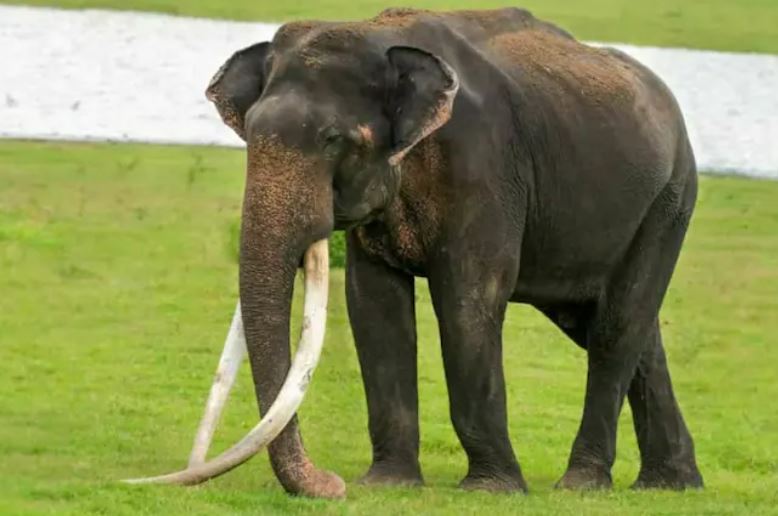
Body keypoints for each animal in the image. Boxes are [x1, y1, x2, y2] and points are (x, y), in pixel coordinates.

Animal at [126, 7, 704, 498]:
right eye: (250, 134)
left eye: (333, 139)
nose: (332, 483)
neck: (376, 35)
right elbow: (374, 305)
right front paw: (388, 484)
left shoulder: (484, 168)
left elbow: (468, 301)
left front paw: (490, 490)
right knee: (621, 329)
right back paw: (670, 484)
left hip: (670, 200)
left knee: (616, 327)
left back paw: (582, 485)